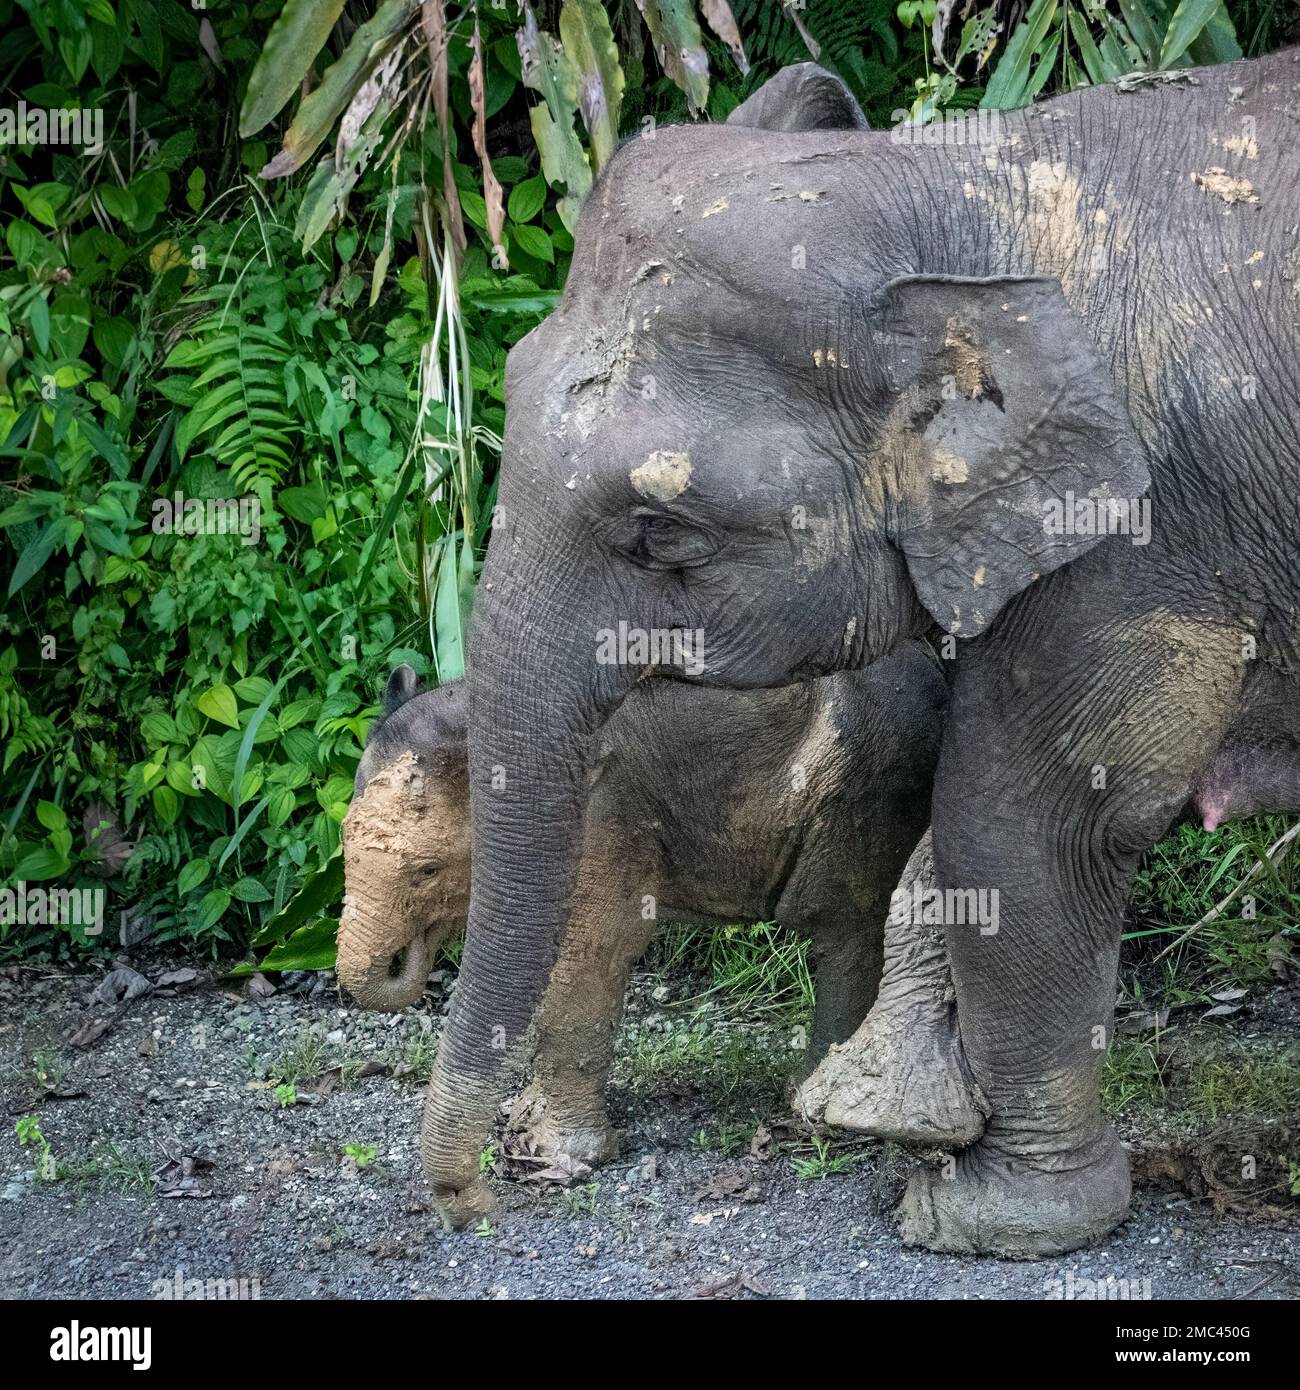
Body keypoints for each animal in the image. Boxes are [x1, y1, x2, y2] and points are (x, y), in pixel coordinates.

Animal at [338, 647, 949, 1168]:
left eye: (426, 870)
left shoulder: (605, 818)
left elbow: (592, 949)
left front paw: (565, 1157)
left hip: (869, 792)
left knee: (847, 930)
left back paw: (812, 1108)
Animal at [422, 48, 1300, 1258]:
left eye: (661, 530)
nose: (479, 1199)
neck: (965, 187)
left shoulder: (1146, 528)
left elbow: (1034, 819)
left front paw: (979, 1212)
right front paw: (890, 1115)